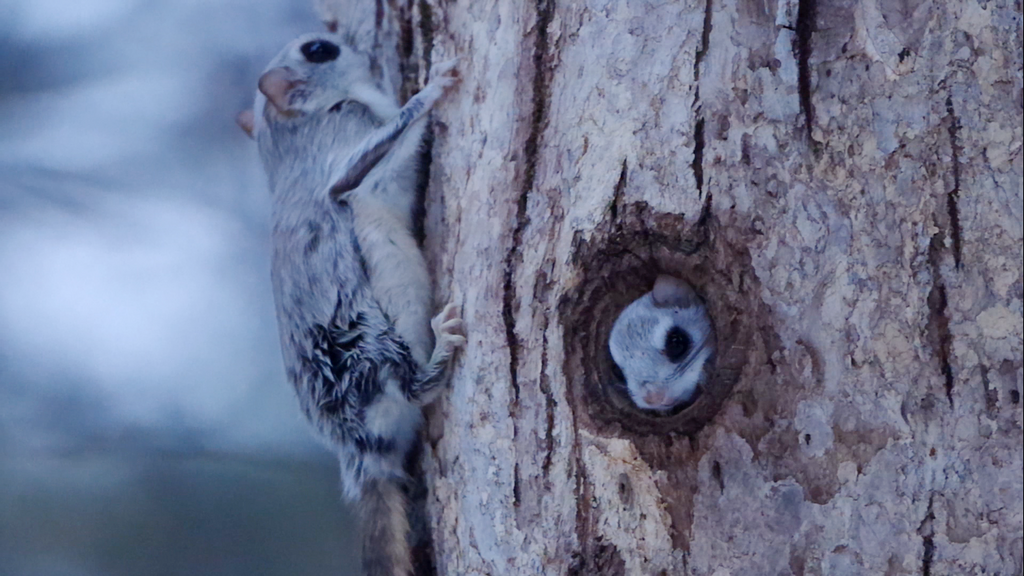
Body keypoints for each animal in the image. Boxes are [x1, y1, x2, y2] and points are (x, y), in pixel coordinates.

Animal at [238, 33, 465, 576]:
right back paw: (441, 352)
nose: (357, 41)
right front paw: (433, 87)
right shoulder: (344, 153)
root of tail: (361, 451)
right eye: (318, 50)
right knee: (412, 388)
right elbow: (383, 143)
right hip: (377, 323)